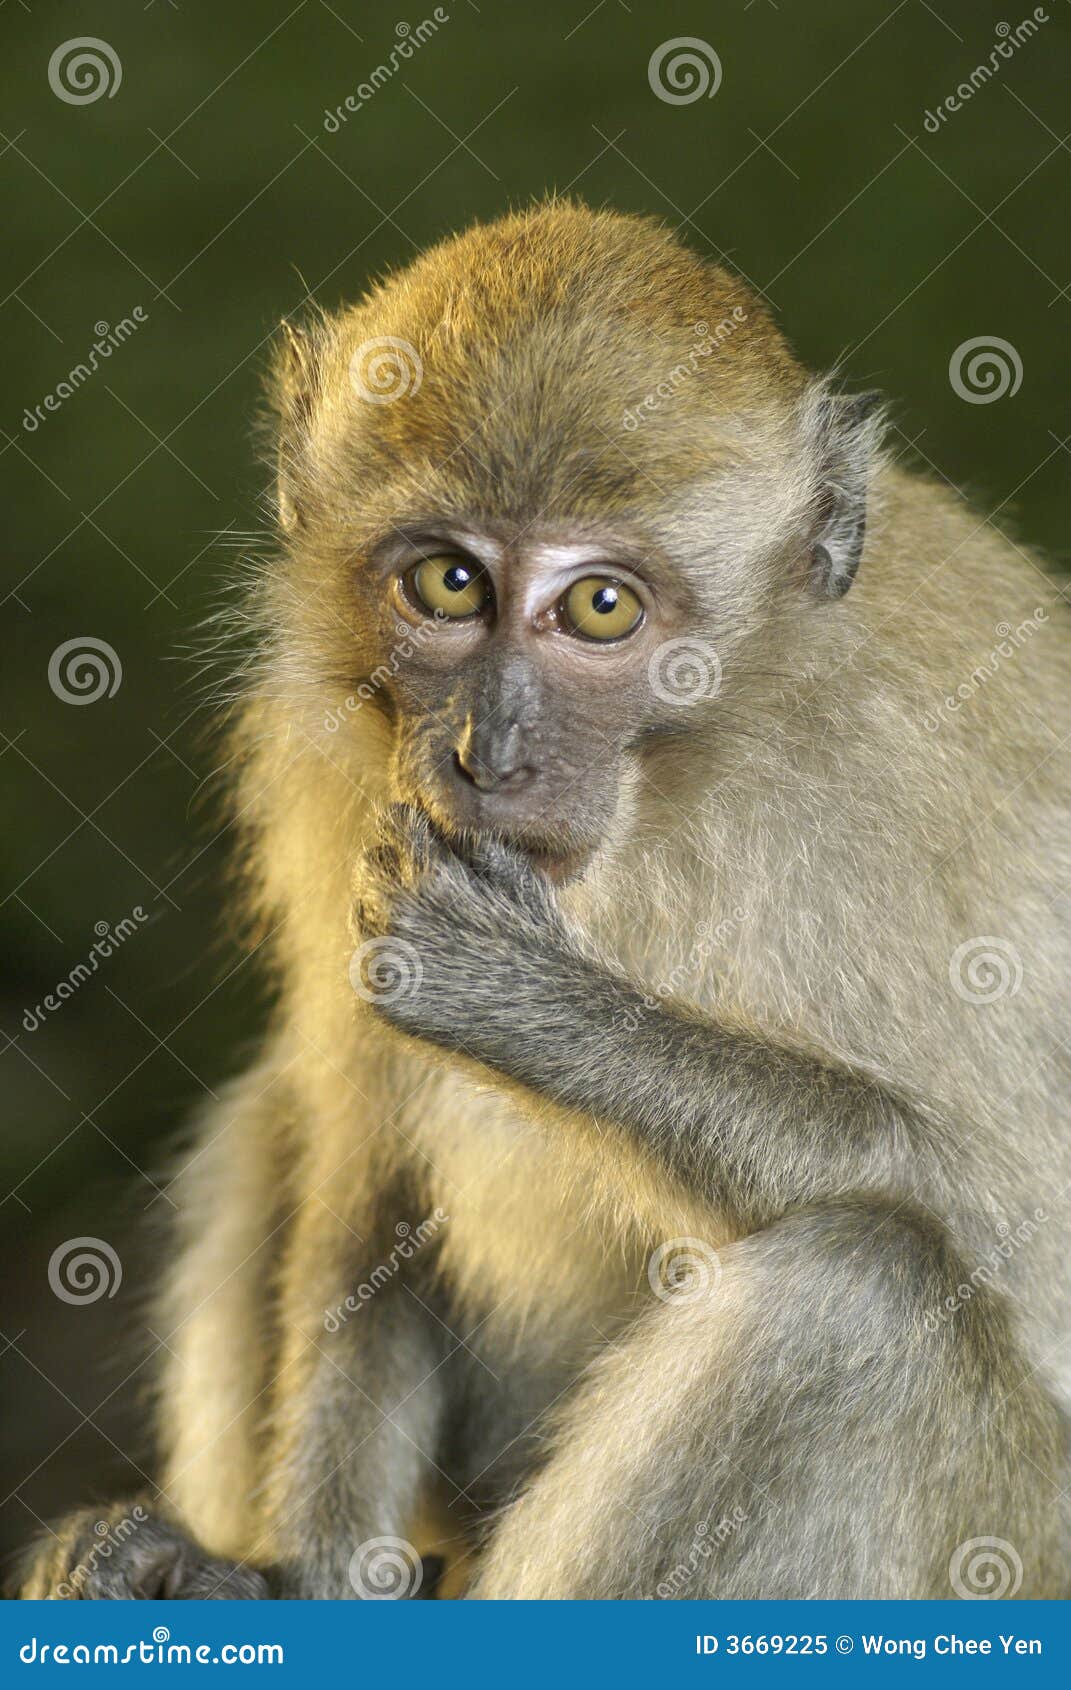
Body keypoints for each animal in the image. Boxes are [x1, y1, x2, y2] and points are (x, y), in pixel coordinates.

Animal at [19, 200, 1071, 1600]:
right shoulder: (327, 765)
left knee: (864, 1295)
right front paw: (298, 1580)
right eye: (449, 584)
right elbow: (365, 1168)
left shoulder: (898, 788)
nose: (491, 753)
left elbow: (1026, 1246)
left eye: (601, 606)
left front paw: (534, 1009)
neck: (680, 778)